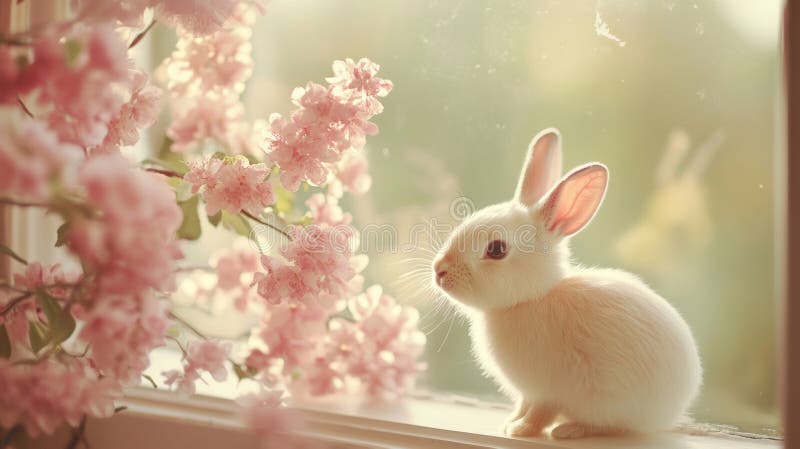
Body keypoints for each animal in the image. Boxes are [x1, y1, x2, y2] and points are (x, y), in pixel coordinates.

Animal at [431, 128, 702, 439]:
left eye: (496, 250)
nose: (439, 271)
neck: (530, 299)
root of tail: (673, 411)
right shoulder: (528, 392)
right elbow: (523, 405)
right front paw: (510, 422)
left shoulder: (547, 391)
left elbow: (540, 413)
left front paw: (520, 430)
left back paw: (569, 430)